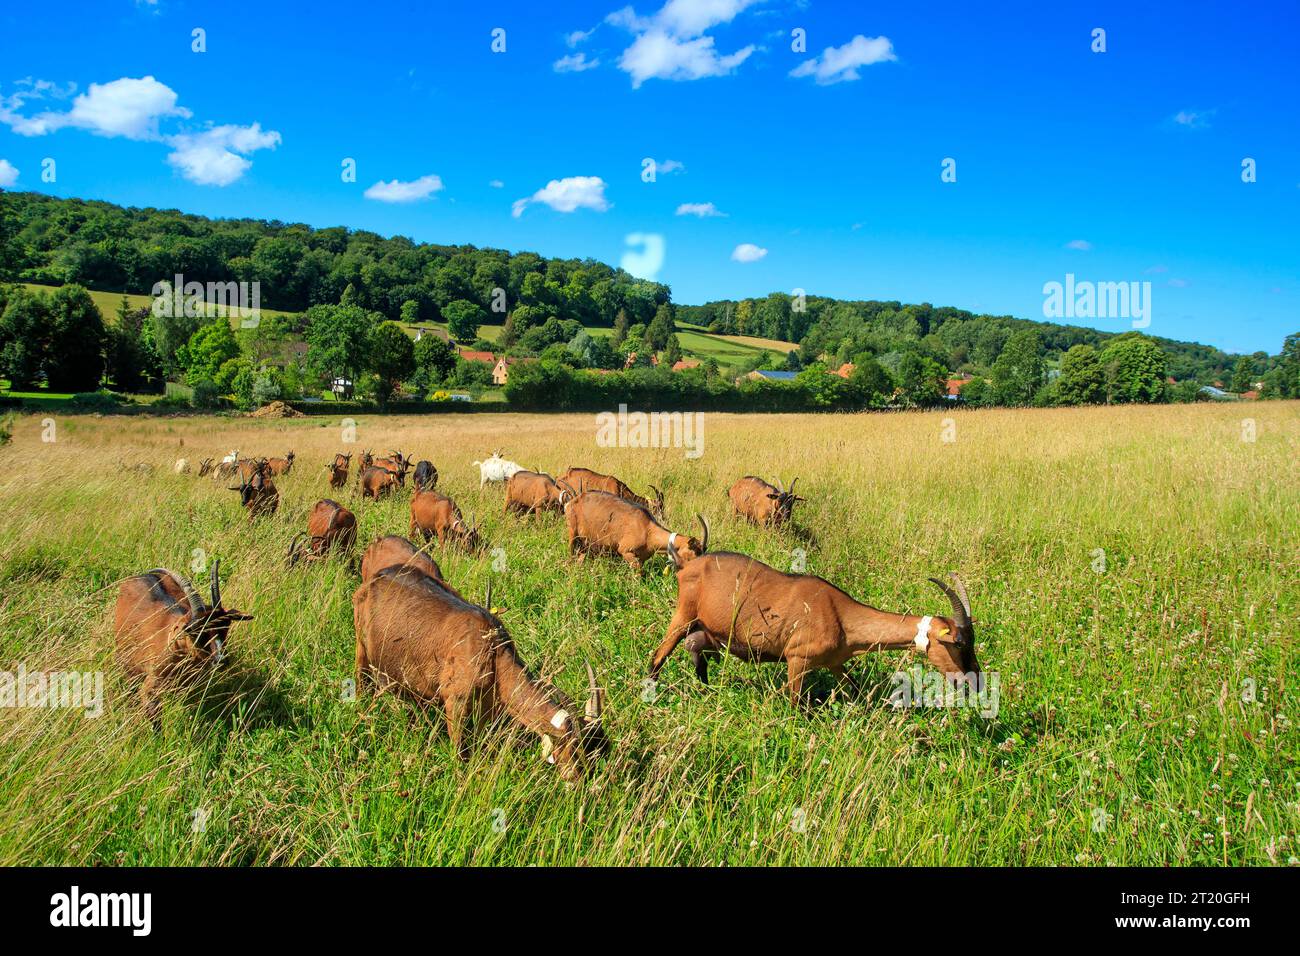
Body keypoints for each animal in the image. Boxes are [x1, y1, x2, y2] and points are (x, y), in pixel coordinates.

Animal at [352, 568, 606, 779]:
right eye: (576, 749)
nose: (580, 783)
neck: (492, 653)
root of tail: (373, 580)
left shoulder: (485, 710)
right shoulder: (455, 702)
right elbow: (460, 751)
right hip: (361, 648)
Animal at [565, 490, 708, 571]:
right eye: (694, 554)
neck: (648, 530)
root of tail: (572, 501)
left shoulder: (642, 558)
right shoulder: (625, 551)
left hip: (586, 544)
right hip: (573, 533)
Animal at [649, 553, 981, 705]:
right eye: (957, 642)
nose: (974, 683)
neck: (840, 615)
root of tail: (687, 567)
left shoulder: (835, 663)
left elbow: (855, 689)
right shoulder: (797, 659)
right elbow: (794, 702)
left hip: (709, 631)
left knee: (696, 649)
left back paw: (708, 691)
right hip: (683, 614)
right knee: (659, 654)